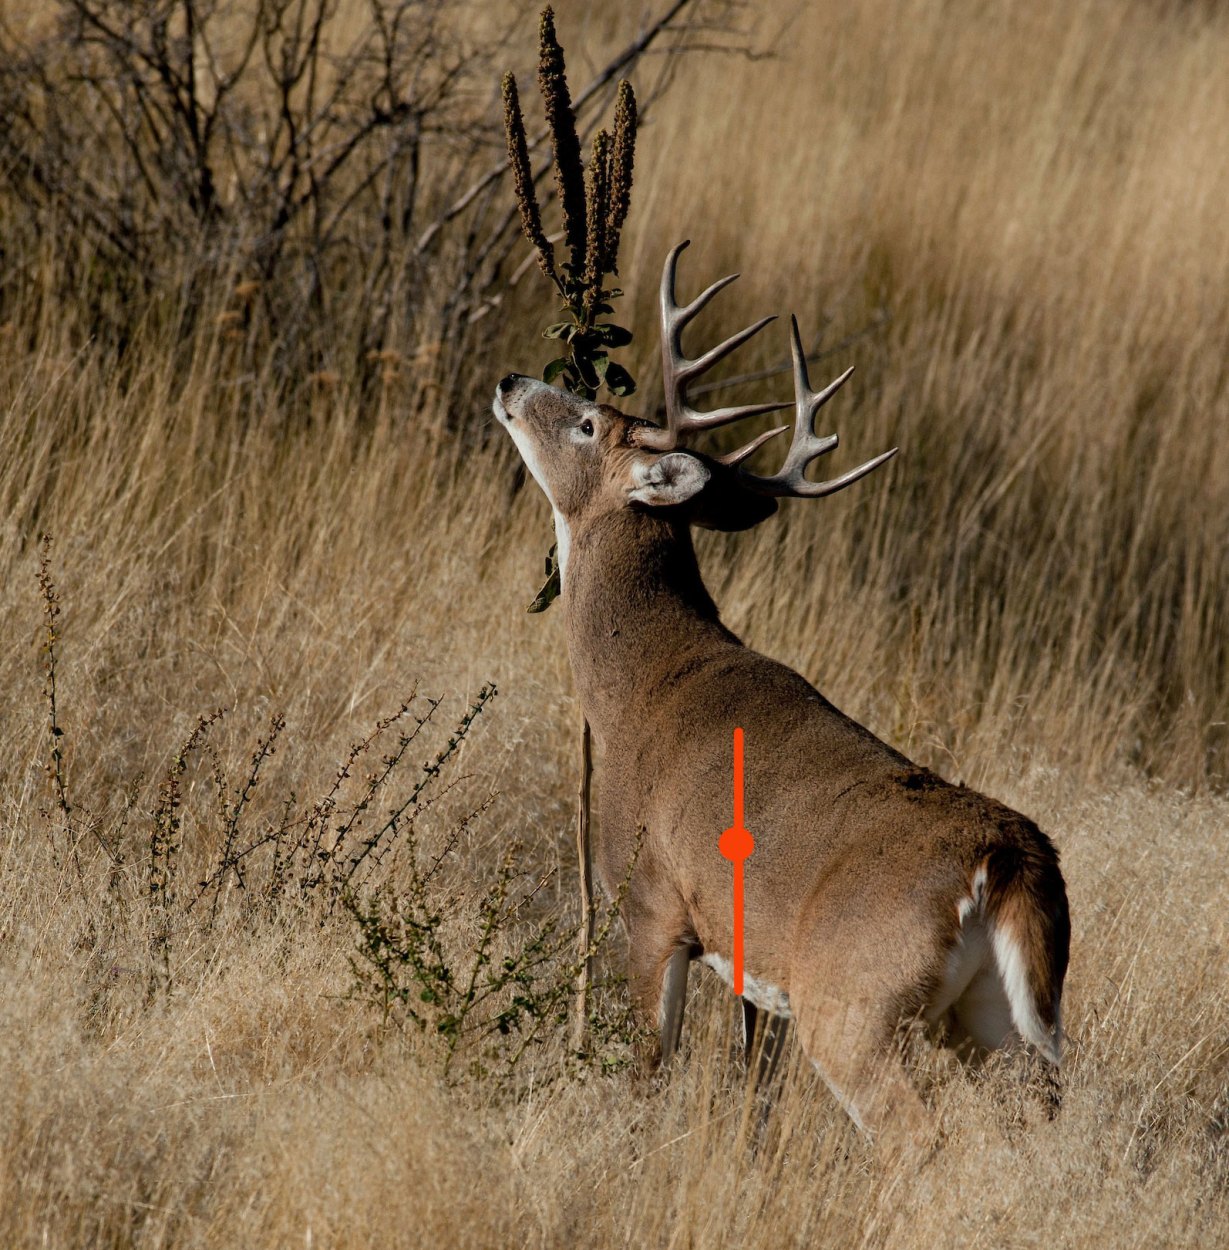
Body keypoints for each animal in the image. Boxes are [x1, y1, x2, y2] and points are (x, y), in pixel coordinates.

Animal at [493, 241, 1070, 1135]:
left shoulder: (650, 899)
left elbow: (645, 1067)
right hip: (1005, 1023)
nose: (510, 381)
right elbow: (751, 1095)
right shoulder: (747, 965)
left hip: (853, 998)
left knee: (916, 1134)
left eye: (588, 422)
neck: (638, 686)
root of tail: (1005, 859)